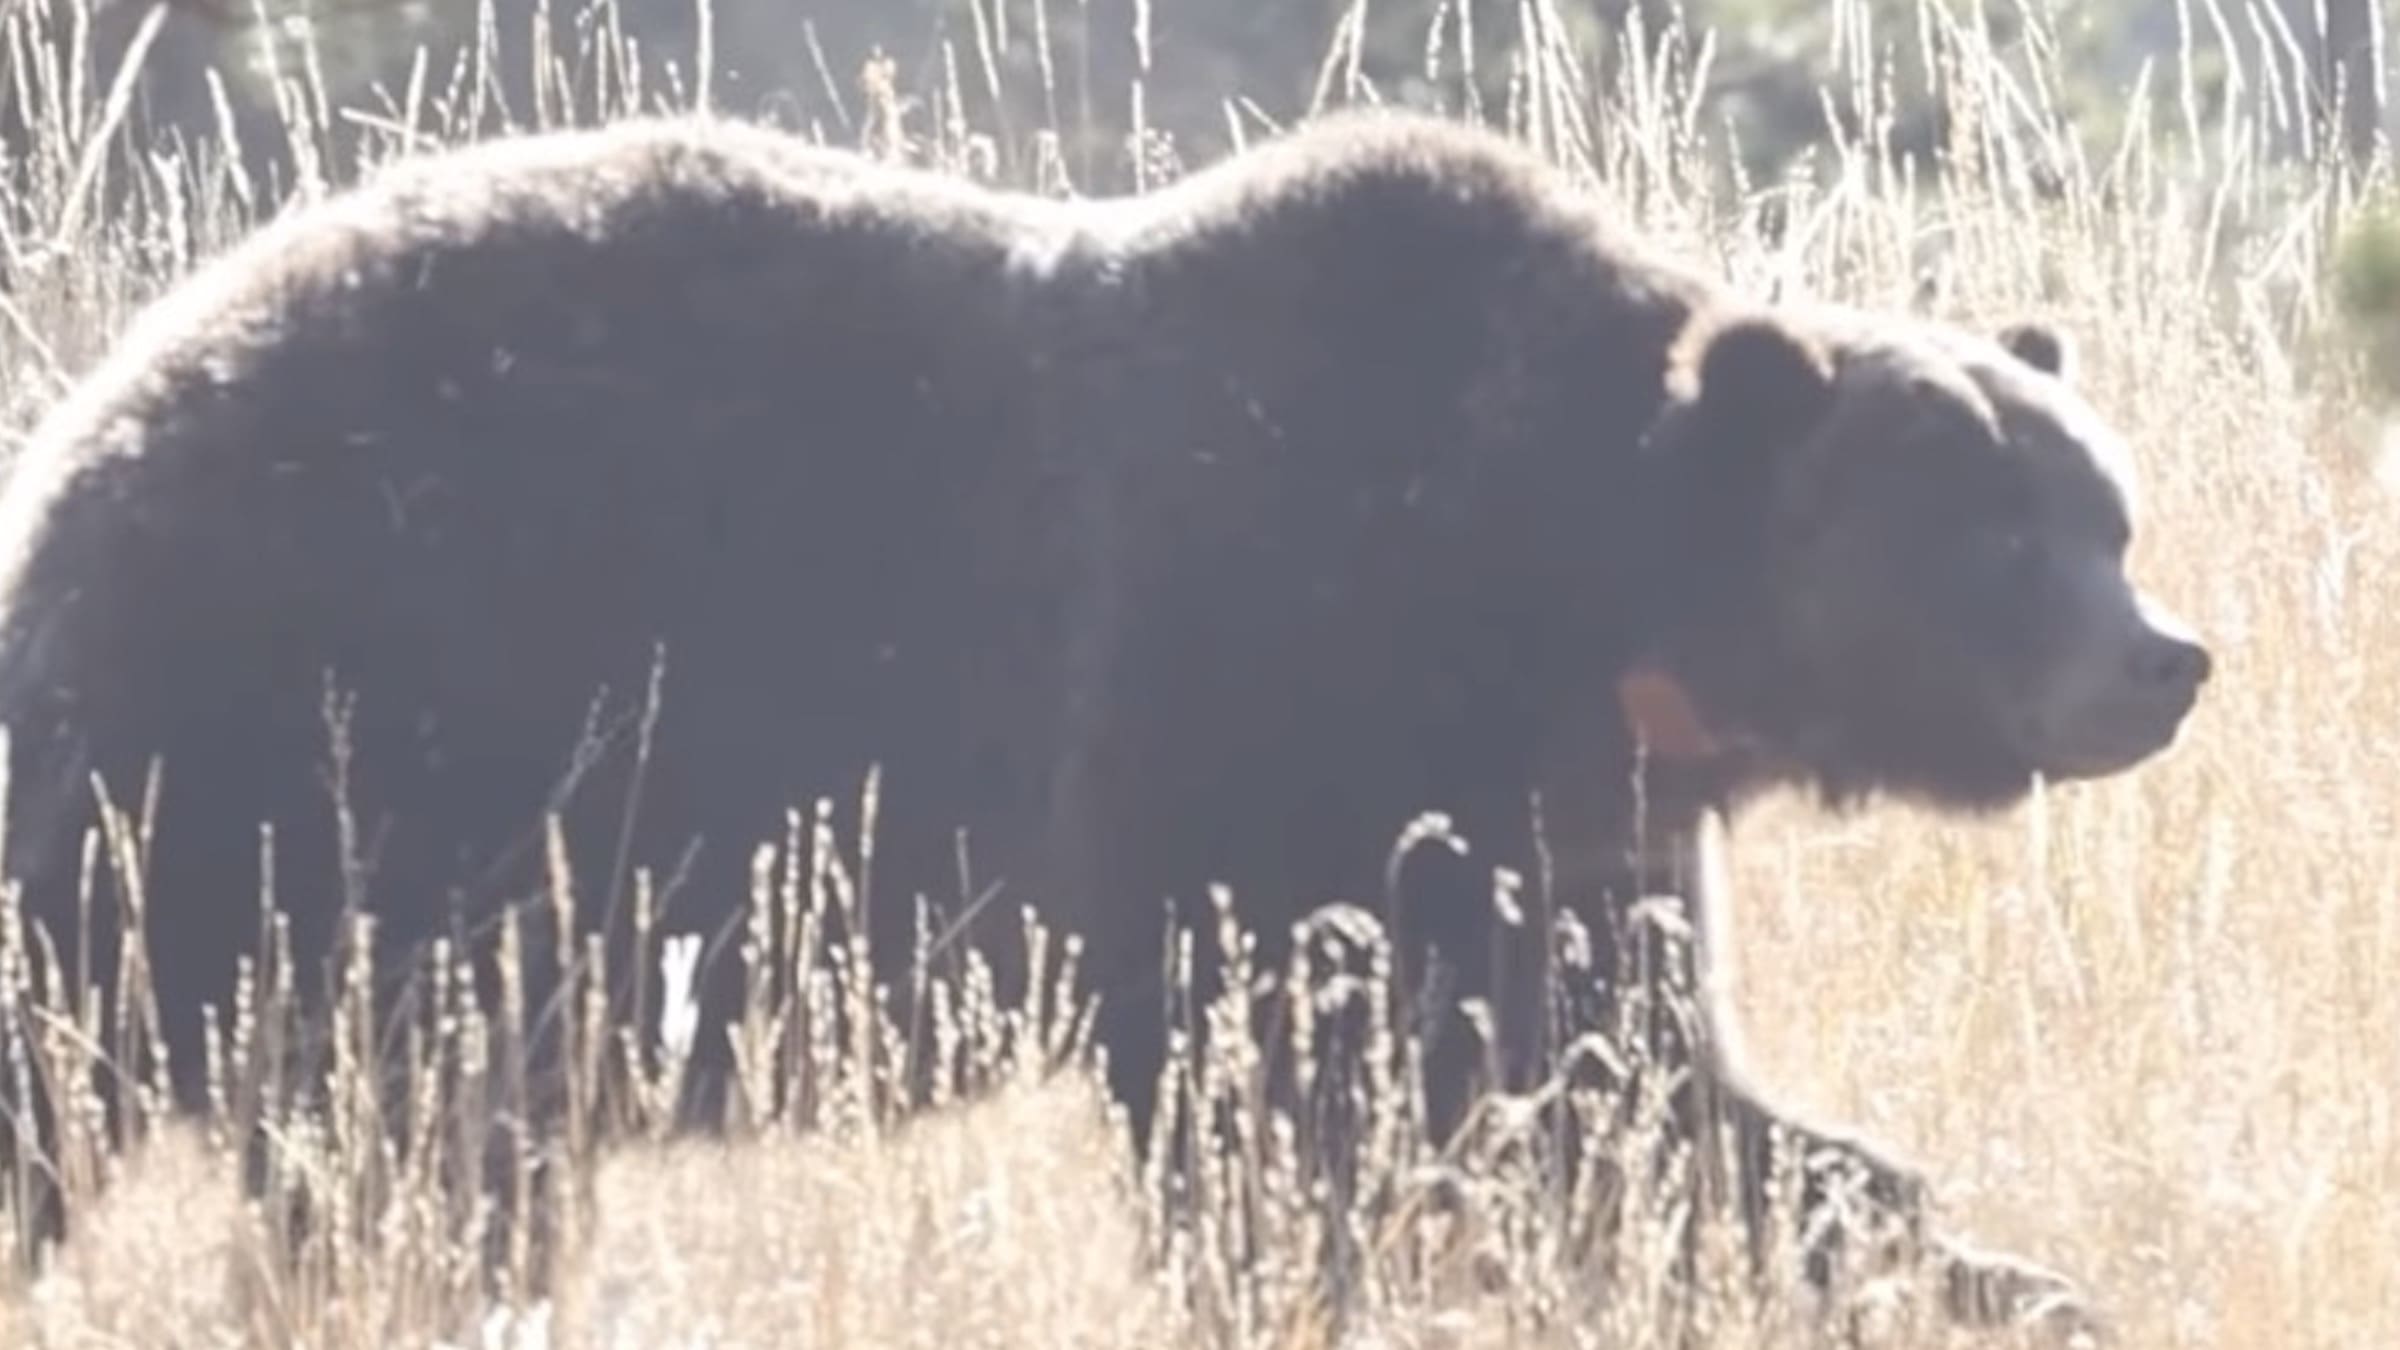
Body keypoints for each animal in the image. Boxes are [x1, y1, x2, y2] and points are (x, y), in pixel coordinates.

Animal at [0, 107, 2206, 1333]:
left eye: (2106, 508)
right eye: (2004, 539)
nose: (2165, 659)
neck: (1572, 590)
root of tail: (100, 415)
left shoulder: (1558, 832)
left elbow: (1622, 1097)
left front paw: (1995, 1272)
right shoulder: (1256, 699)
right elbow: (1279, 1105)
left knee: (390, 1163)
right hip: (284, 757)